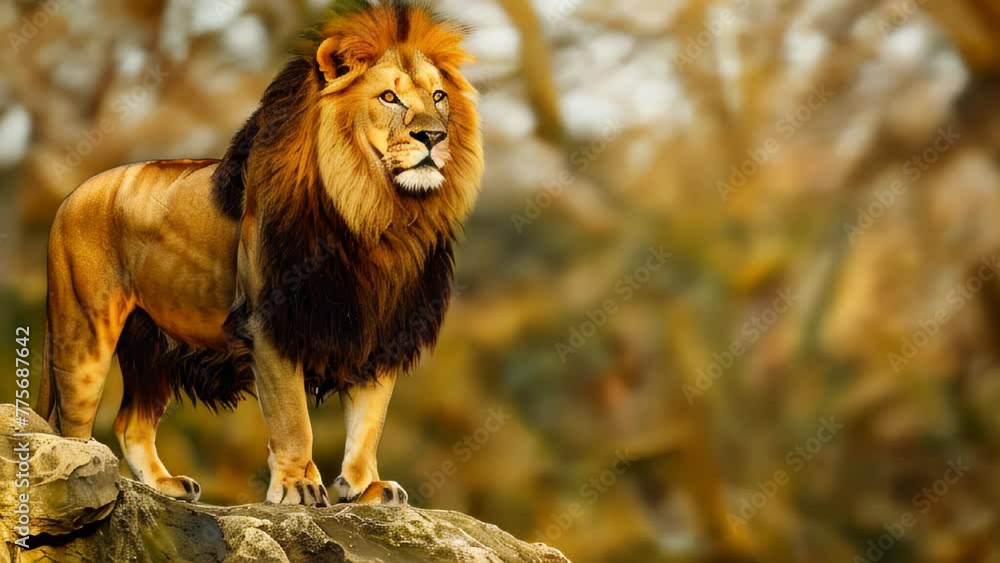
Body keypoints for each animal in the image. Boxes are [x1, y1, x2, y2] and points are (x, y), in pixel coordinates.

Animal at [34, 1, 483, 507]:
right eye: (389, 97)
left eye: (439, 96)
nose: (434, 136)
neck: (378, 214)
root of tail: (71, 196)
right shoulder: (271, 322)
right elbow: (293, 420)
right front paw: (298, 486)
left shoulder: (381, 330)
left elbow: (369, 421)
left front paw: (366, 486)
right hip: (84, 332)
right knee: (70, 425)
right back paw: (88, 484)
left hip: (150, 343)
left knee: (132, 422)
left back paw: (166, 485)